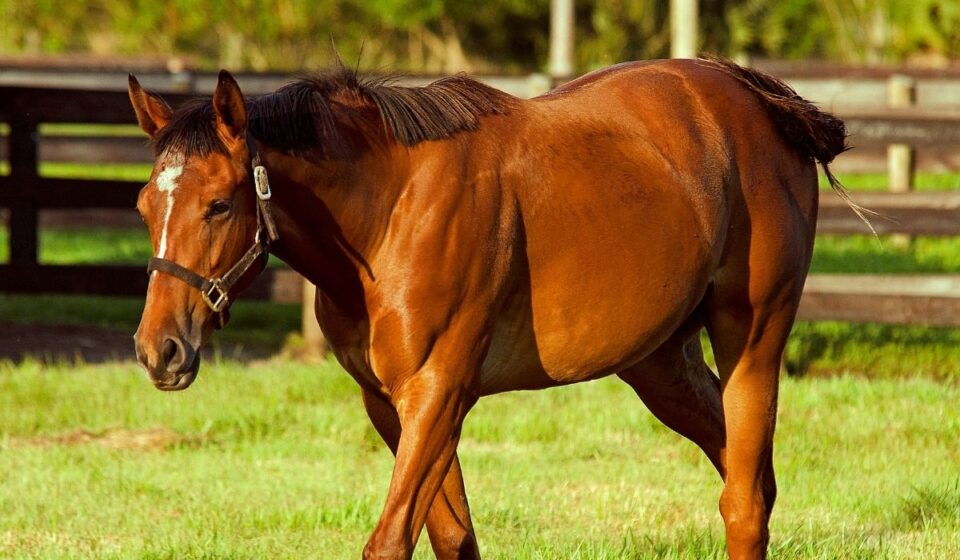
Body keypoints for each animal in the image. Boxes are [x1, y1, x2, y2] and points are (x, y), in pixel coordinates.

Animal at [129, 55, 850, 559]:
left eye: (219, 204)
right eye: (143, 206)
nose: (160, 350)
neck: (389, 211)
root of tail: (755, 99)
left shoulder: (438, 393)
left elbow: (390, 541)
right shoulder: (392, 405)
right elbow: (453, 538)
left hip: (752, 339)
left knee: (744, 502)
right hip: (661, 363)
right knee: (748, 480)